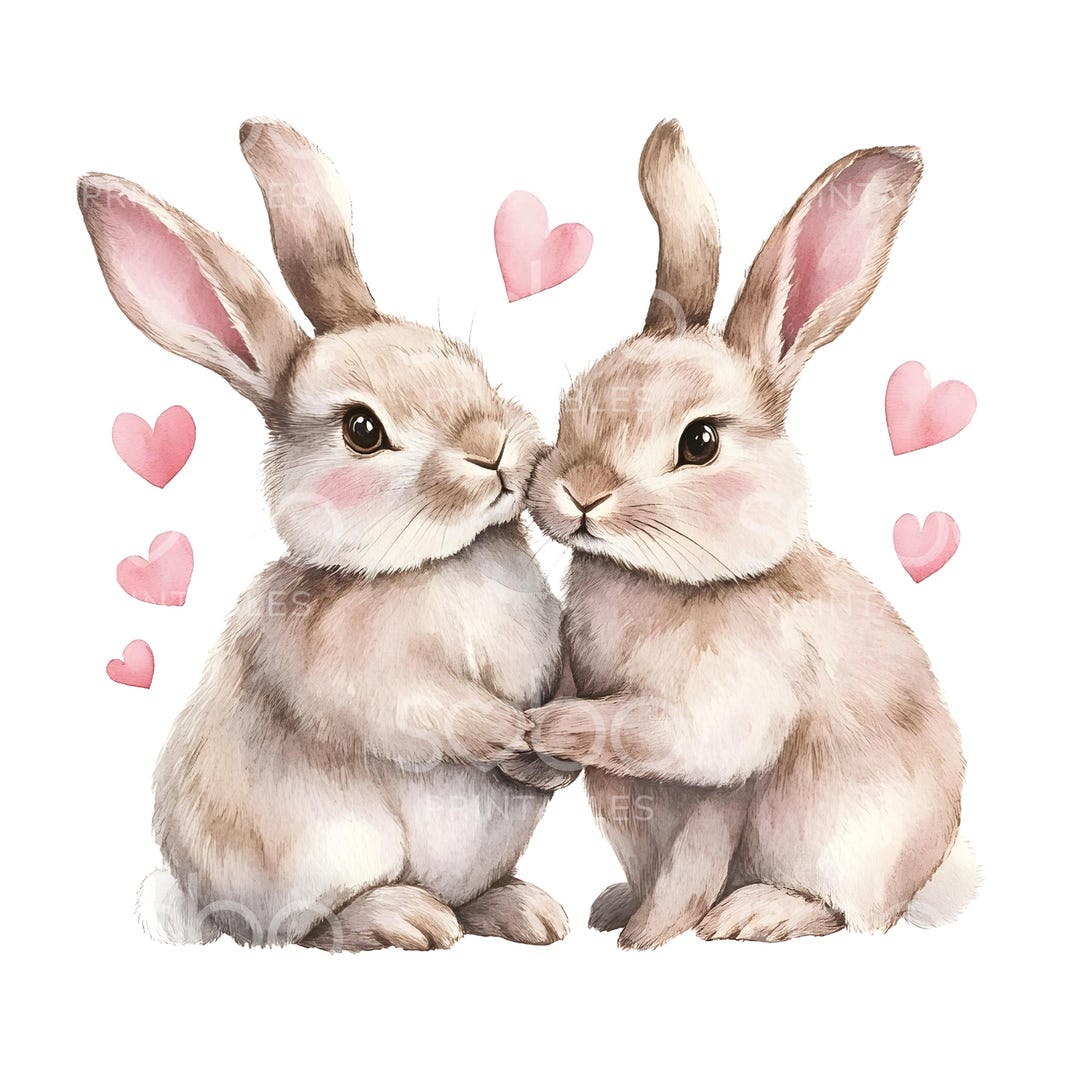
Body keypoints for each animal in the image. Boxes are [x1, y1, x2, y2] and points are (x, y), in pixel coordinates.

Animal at [80, 118, 579, 950]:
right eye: (362, 430)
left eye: (467, 362)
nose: (491, 448)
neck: (441, 561)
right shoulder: (357, 677)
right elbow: (423, 711)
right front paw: (507, 732)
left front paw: (548, 753)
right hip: (327, 854)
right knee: (304, 930)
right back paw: (407, 919)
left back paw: (526, 911)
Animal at [526, 119, 976, 949]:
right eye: (573, 404)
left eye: (700, 442)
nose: (580, 493)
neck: (670, 583)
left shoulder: (721, 735)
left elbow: (661, 747)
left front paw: (557, 728)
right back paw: (617, 904)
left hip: (847, 843)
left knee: (844, 915)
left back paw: (752, 913)